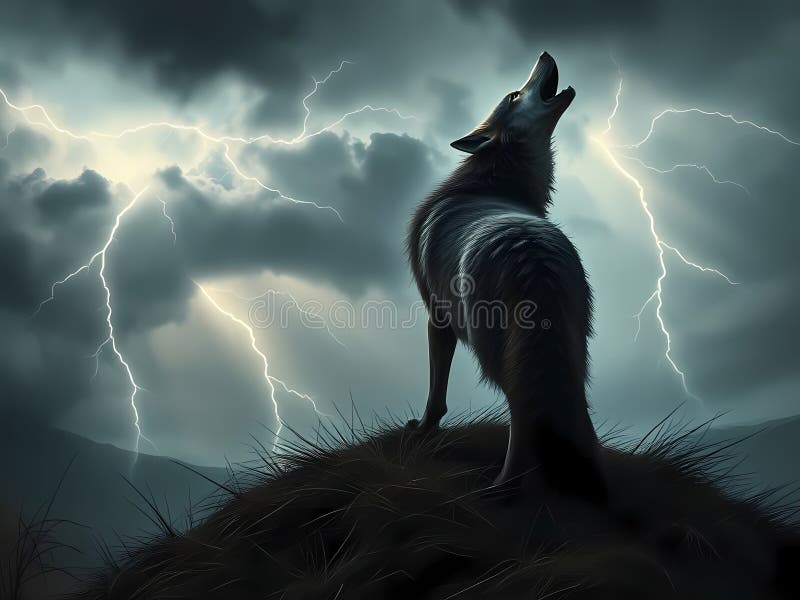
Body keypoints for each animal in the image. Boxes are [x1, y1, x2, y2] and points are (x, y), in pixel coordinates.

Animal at [407, 52, 605, 502]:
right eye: (515, 94)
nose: (545, 54)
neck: (487, 186)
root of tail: (533, 255)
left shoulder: (437, 317)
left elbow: (436, 393)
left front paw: (424, 431)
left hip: (495, 350)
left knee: (522, 412)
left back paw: (502, 488)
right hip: (571, 350)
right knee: (571, 413)